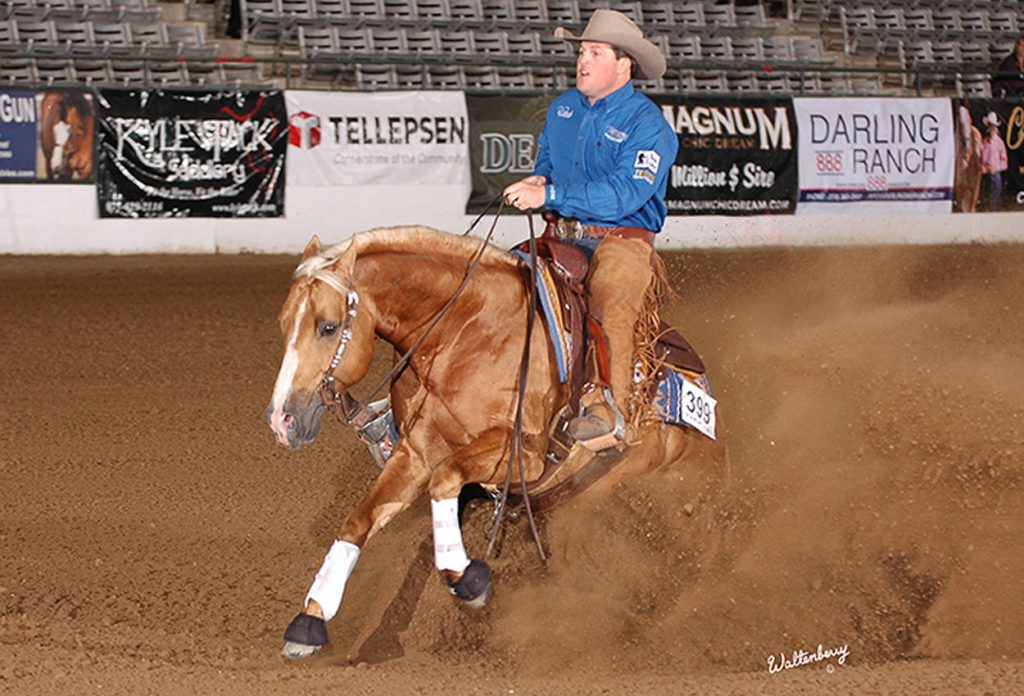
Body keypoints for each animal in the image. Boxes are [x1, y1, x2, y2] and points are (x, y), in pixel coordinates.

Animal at [266, 225, 727, 660]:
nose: (281, 420)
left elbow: (446, 479)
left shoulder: (524, 453)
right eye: (283, 323)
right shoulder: (415, 454)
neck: (463, 334)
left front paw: (467, 578)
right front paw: (310, 621)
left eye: (328, 327)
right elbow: (360, 520)